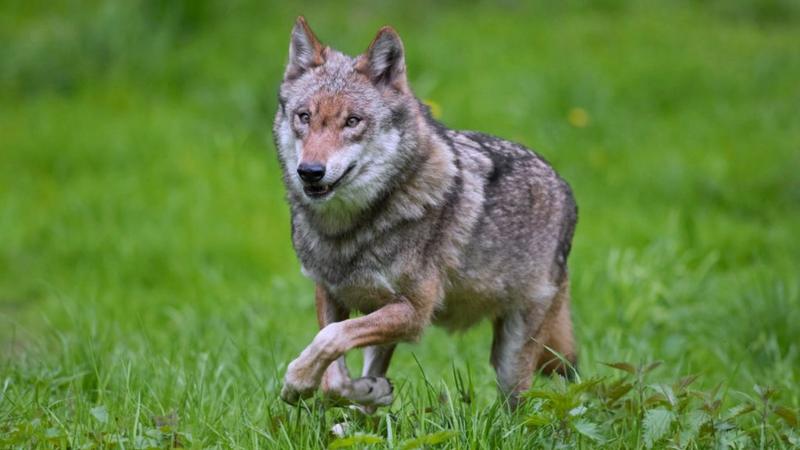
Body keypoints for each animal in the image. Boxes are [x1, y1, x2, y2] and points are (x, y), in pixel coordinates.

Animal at [272, 17, 578, 410]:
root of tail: (564, 187)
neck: (347, 230)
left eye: (353, 121)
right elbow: (334, 373)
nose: (310, 171)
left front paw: (296, 381)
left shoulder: (414, 312)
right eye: (304, 117)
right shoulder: (330, 294)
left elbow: (329, 339)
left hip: (511, 362)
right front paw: (359, 390)